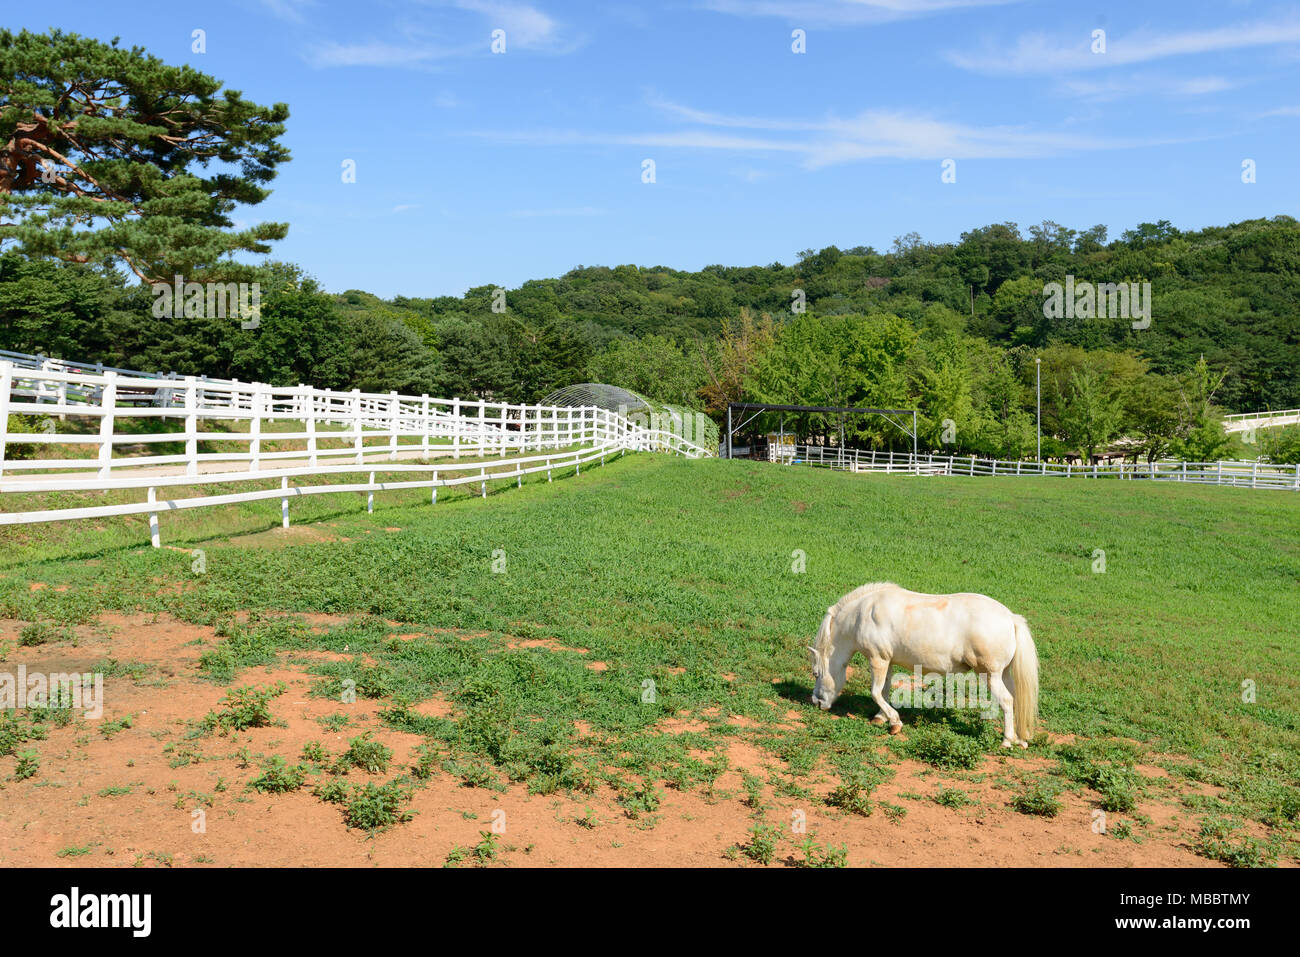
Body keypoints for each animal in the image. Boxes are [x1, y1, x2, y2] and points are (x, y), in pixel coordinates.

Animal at [807, 582, 1039, 748]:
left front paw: (895, 723)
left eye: (816, 673)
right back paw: (1019, 739)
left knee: (1007, 701)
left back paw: (1007, 740)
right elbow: (884, 690)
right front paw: (881, 717)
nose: (816, 702)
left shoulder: (878, 659)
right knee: (1016, 699)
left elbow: (875, 692)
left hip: (990, 675)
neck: (862, 615)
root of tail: (1010, 618)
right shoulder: (887, 661)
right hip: (1004, 674)